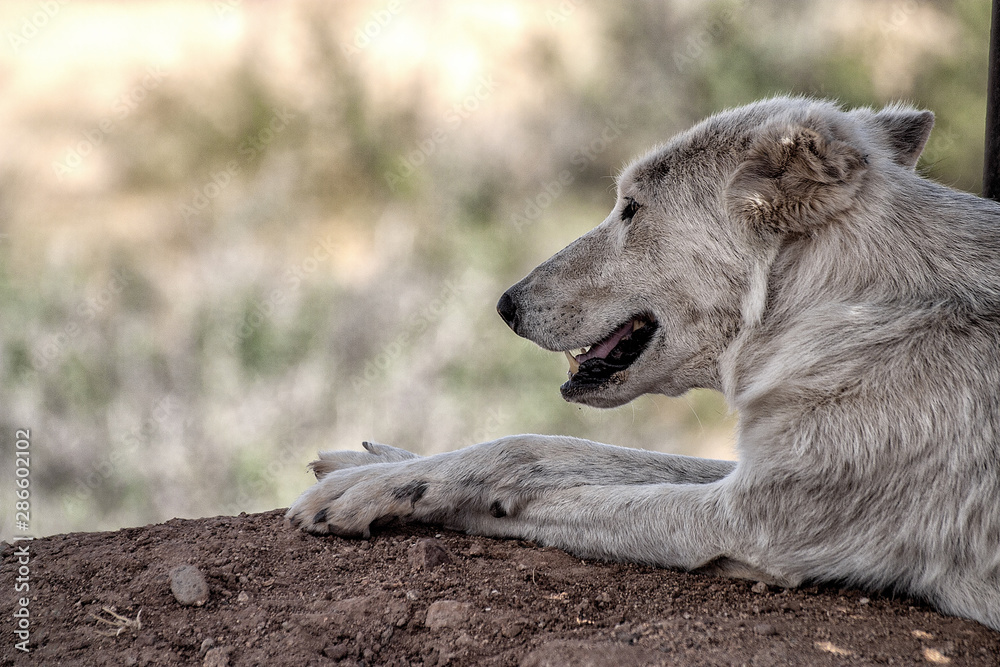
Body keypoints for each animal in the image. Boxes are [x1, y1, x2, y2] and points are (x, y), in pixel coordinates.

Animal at [287, 97, 1000, 631]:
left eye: (631, 209)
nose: (504, 305)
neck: (848, 308)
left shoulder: (742, 522)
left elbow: (547, 496)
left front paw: (384, 495)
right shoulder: (750, 468)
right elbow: (536, 446)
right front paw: (375, 470)